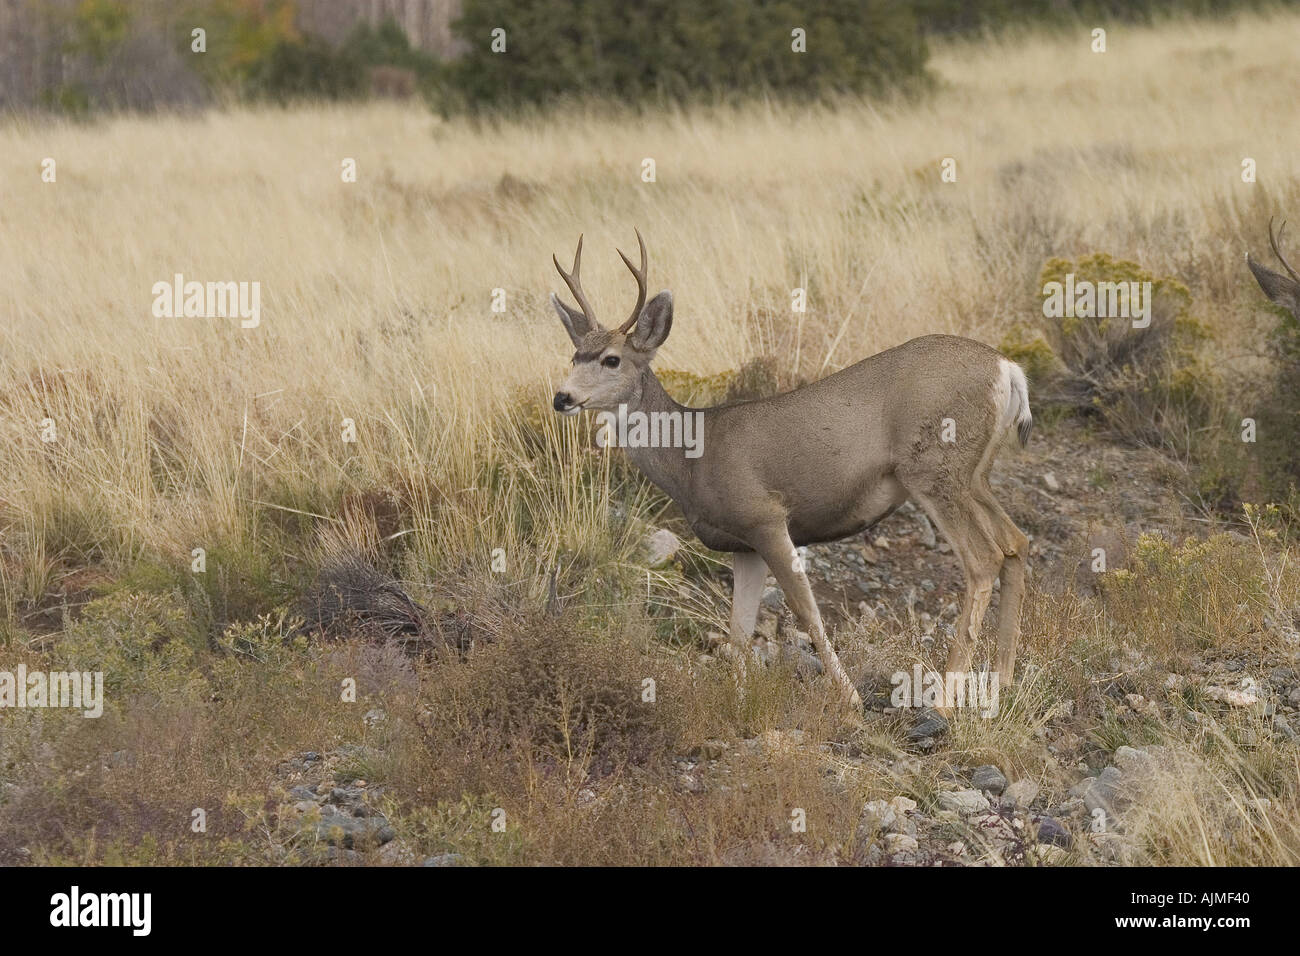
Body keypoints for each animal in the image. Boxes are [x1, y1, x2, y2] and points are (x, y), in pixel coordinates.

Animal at [548, 231, 1032, 711]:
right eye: (574, 355)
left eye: (612, 359)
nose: (562, 397)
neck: (692, 459)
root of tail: (1009, 369)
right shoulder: (742, 546)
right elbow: (738, 631)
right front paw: (741, 703)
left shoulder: (764, 516)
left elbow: (807, 613)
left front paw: (852, 704)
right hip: (974, 474)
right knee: (1015, 541)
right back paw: (1005, 679)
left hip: (933, 468)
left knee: (983, 559)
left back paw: (946, 699)